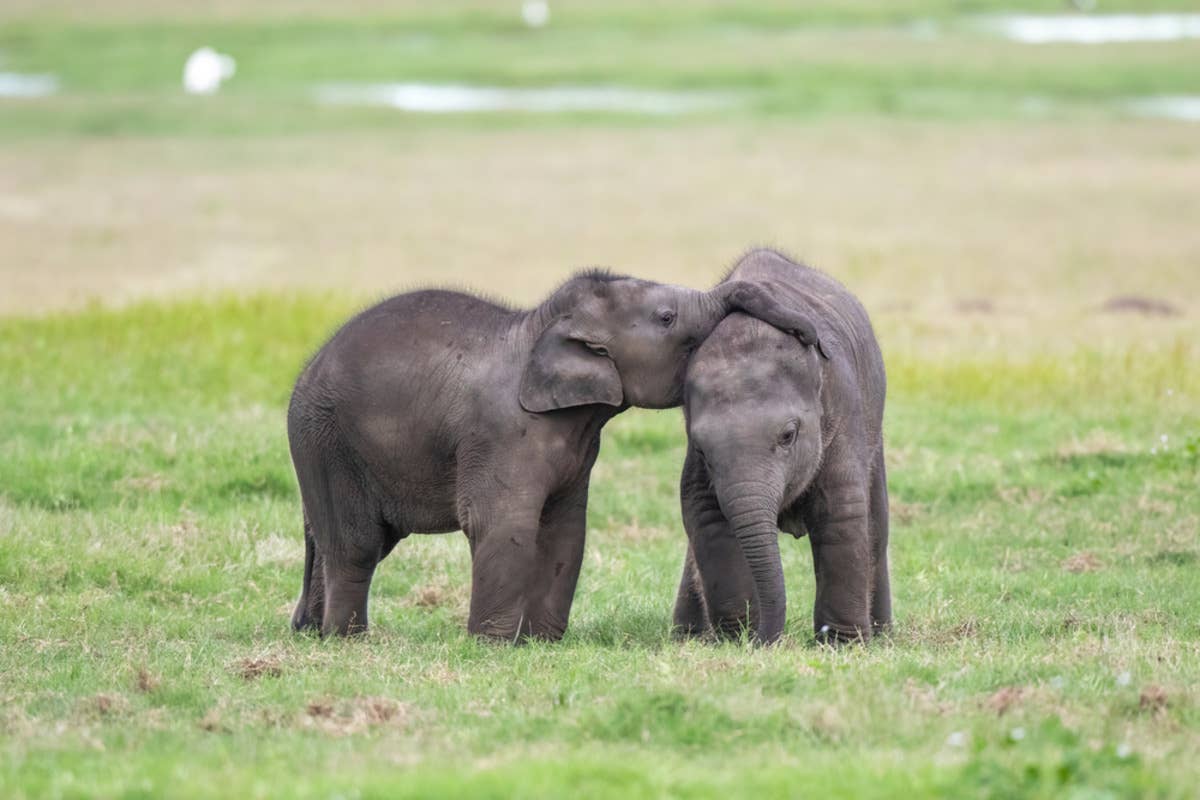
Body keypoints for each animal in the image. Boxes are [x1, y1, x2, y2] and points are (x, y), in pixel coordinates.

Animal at [287, 268, 824, 640]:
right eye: (666, 317)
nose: (811, 337)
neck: (539, 327)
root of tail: (306, 370)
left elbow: (566, 530)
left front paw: (540, 643)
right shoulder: (501, 432)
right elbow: (503, 524)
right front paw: (490, 646)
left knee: (337, 538)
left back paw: (310, 631)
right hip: (326, 442)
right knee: (356, 545)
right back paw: (348, 639)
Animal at [672, 249, 890, 645]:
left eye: (788, 436)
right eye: (702, 450)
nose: (764, 640)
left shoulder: (841, 413)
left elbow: (841, 511)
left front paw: (841, 645)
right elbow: (704, 513)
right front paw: (736, 636)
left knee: (876, 525)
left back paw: (883, 635)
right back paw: (687, 635)